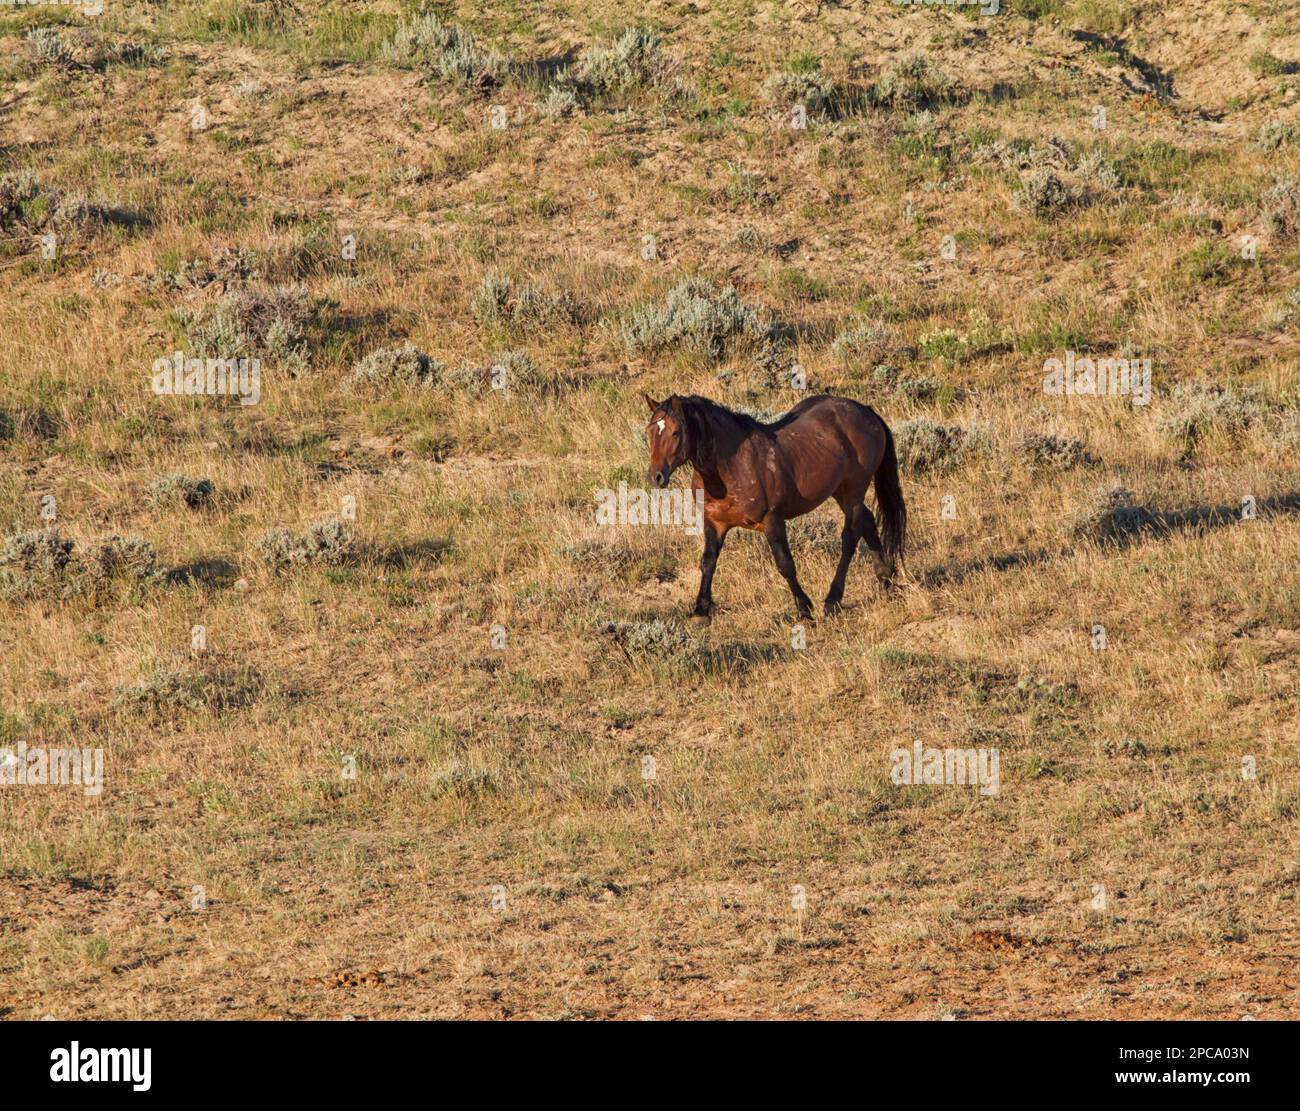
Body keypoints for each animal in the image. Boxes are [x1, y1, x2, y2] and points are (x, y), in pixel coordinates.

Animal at [643, 393, 907, 624]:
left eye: (676, 432)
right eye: (649, 432)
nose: (656, 477)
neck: (729, 468)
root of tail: (865, 411)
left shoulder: (772, 520)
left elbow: (785, 564)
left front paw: (804, 609)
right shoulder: (714, 523)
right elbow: (708, 562)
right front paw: (700, 611)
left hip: (854, 489)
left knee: (850, 537)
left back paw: (833, 600)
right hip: (840, 491)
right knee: (868, 522)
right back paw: (886, 581)